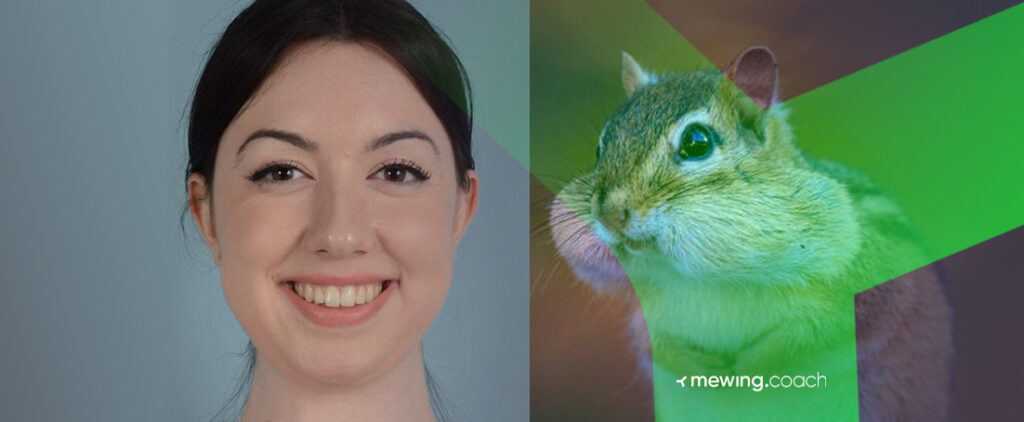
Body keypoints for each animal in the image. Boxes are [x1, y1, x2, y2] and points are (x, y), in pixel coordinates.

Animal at [548, 47, 953, 421]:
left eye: (696, 142)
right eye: (601, 146)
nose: (609, 215)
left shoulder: (865, 284)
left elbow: (817, 332)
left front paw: (747, 369)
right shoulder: (643, 310)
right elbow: (654, 345)